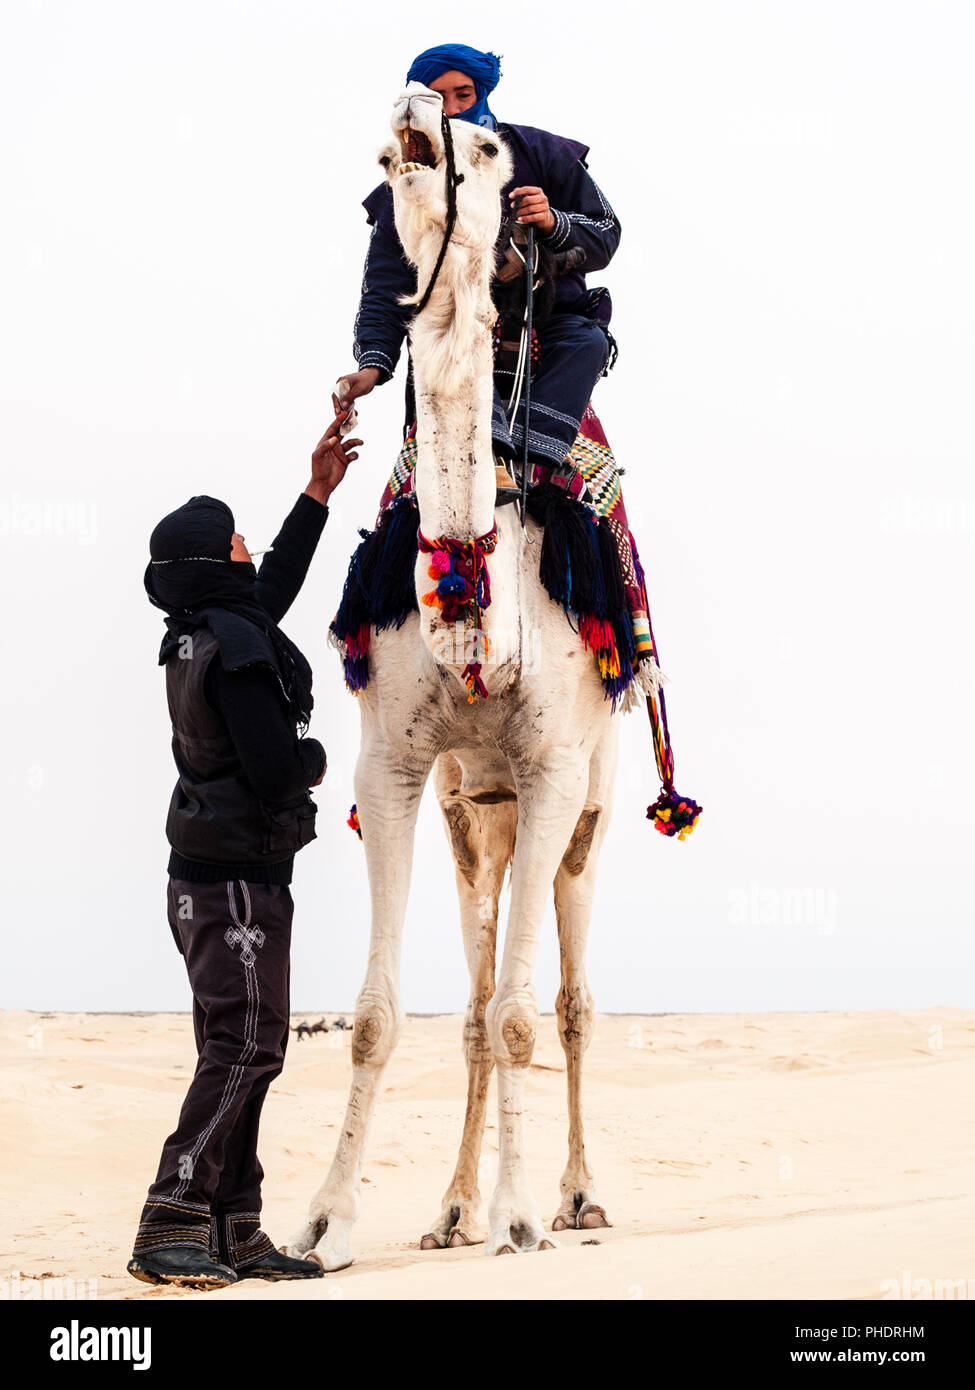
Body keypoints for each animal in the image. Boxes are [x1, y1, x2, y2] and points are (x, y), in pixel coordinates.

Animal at [288, 83, 637, 1268]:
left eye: (486, 146)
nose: (412, 111)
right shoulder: (392, 770)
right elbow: (383, 1016)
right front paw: (324, 1221)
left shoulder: (553, 769)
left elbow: (528, 1014)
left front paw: (528, 1214)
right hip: (472, 814)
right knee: (481, 1003)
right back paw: (451, 1209)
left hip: (587, 808)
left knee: (566, 1000)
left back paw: (578, 1196)